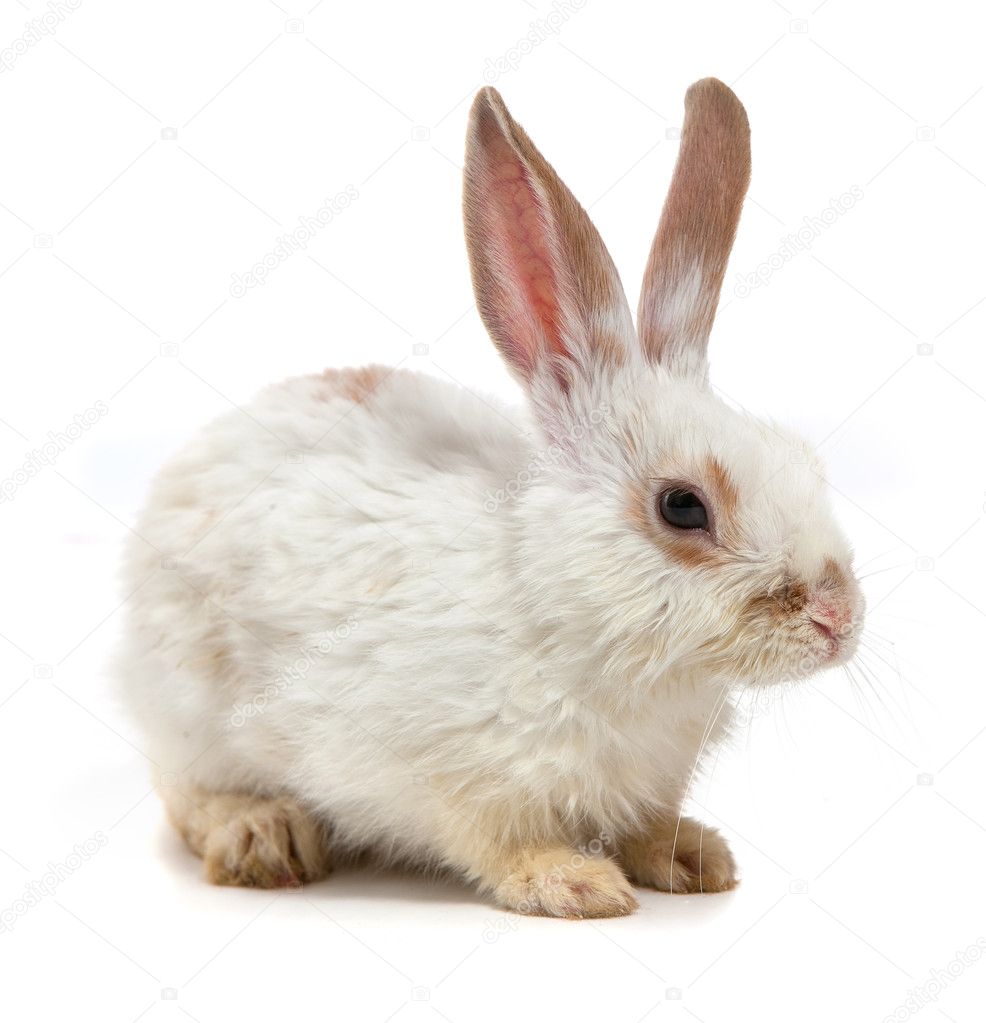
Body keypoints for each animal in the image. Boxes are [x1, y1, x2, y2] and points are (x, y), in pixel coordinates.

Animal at [117, 78, 863, 918]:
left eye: (804, 461)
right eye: (682, 506)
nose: (839, 616)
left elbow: (649, 822)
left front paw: (696, 858)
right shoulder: (442, 772)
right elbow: (495, 840)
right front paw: (573, 882)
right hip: (187, 707)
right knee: (186, 793)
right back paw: (262, 834)